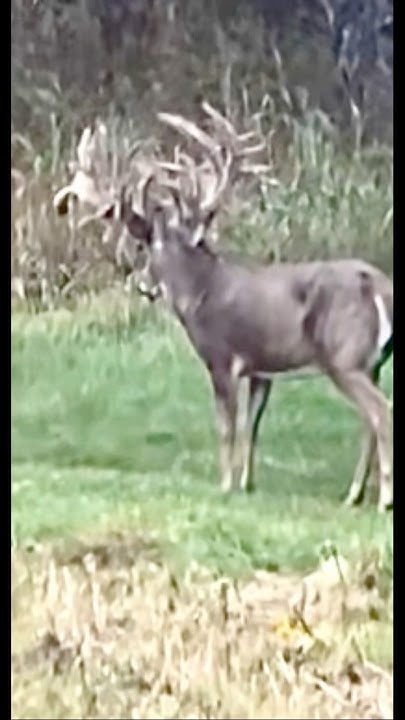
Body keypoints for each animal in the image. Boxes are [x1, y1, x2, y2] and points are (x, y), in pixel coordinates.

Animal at [53, 103, 393, 512]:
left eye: (146, 249)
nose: (145, 287)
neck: (200, 292)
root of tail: (379, 285)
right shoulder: (261, 369)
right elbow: (251, 426)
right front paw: (247, 483)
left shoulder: (220, 358)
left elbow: (226, 425)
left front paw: (226, 484)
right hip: (371, 363)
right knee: (369, 422)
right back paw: (353, 495)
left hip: (345, 358)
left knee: (381, 413)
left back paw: (384, 499)